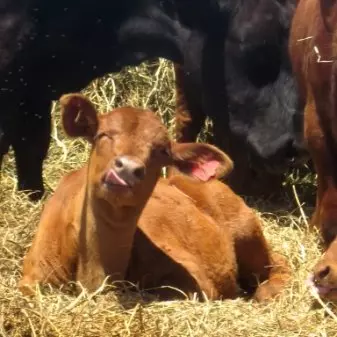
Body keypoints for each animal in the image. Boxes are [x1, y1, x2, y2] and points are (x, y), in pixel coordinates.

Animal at [19, 92, 288, 300]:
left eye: (161, 151)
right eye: (104, 134)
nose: (128, 168)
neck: (95, 271)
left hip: (246, 230)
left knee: (278, 262)